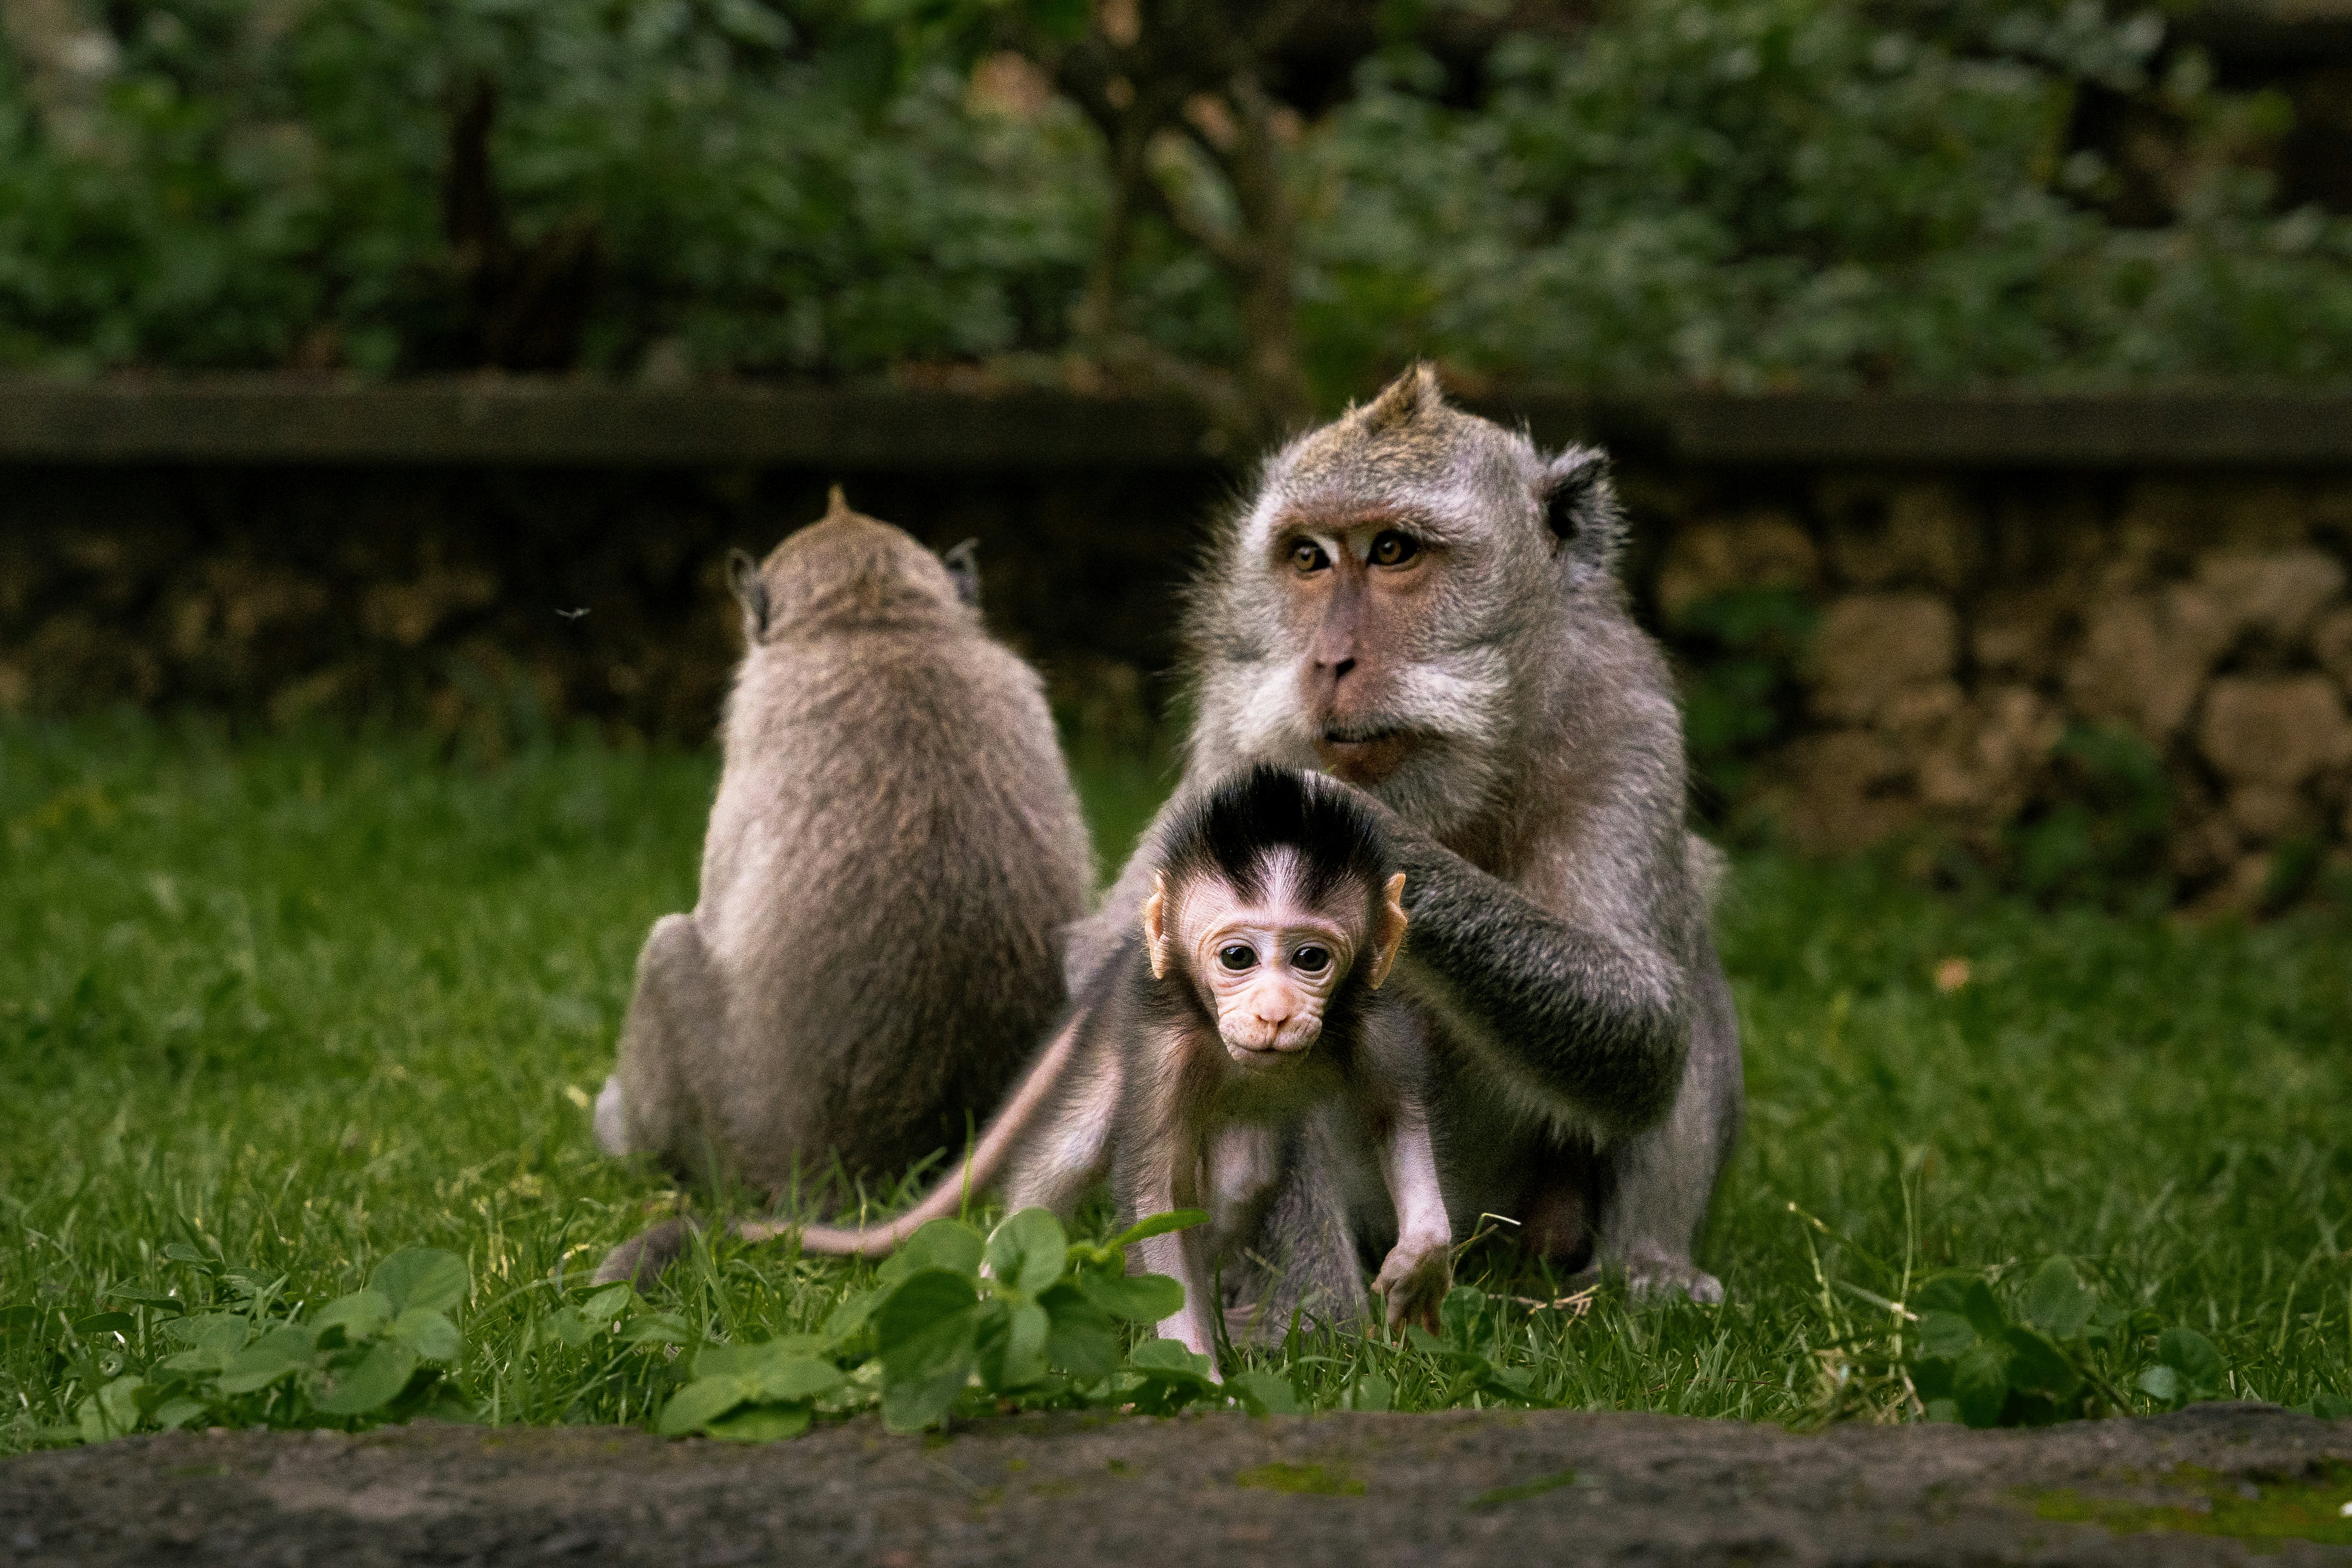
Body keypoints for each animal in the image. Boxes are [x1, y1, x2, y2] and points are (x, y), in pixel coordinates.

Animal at [590, 486, 1094, 1228]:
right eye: (874, 621)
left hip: (729, 1133)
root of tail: (856, 1179)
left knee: (668, 945)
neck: (875, 620)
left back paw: (623, 1136)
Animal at [598, 766, 1453, 1357]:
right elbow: (1149, 1195)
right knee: (1067, 1159)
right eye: (1238, 957)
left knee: (1244, 1175)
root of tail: (1124, 958)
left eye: (1310, 958)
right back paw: (997, 1291)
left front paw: (1420, 1256)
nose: (1273, 1012)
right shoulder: (1165, 1053)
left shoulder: (1373, 1023)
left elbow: (1396, 1116)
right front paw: (1195, 1369)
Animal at [1057, 364, 1743, 1315]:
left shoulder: (1627, 712)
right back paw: (1311, 1317)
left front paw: (1372, 837)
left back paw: (1647, 1270)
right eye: (1309, 558)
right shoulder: (1232, 730)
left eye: (1392, 551)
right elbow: (1129, 971)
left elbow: (1644, 1014)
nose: (1329, 662)